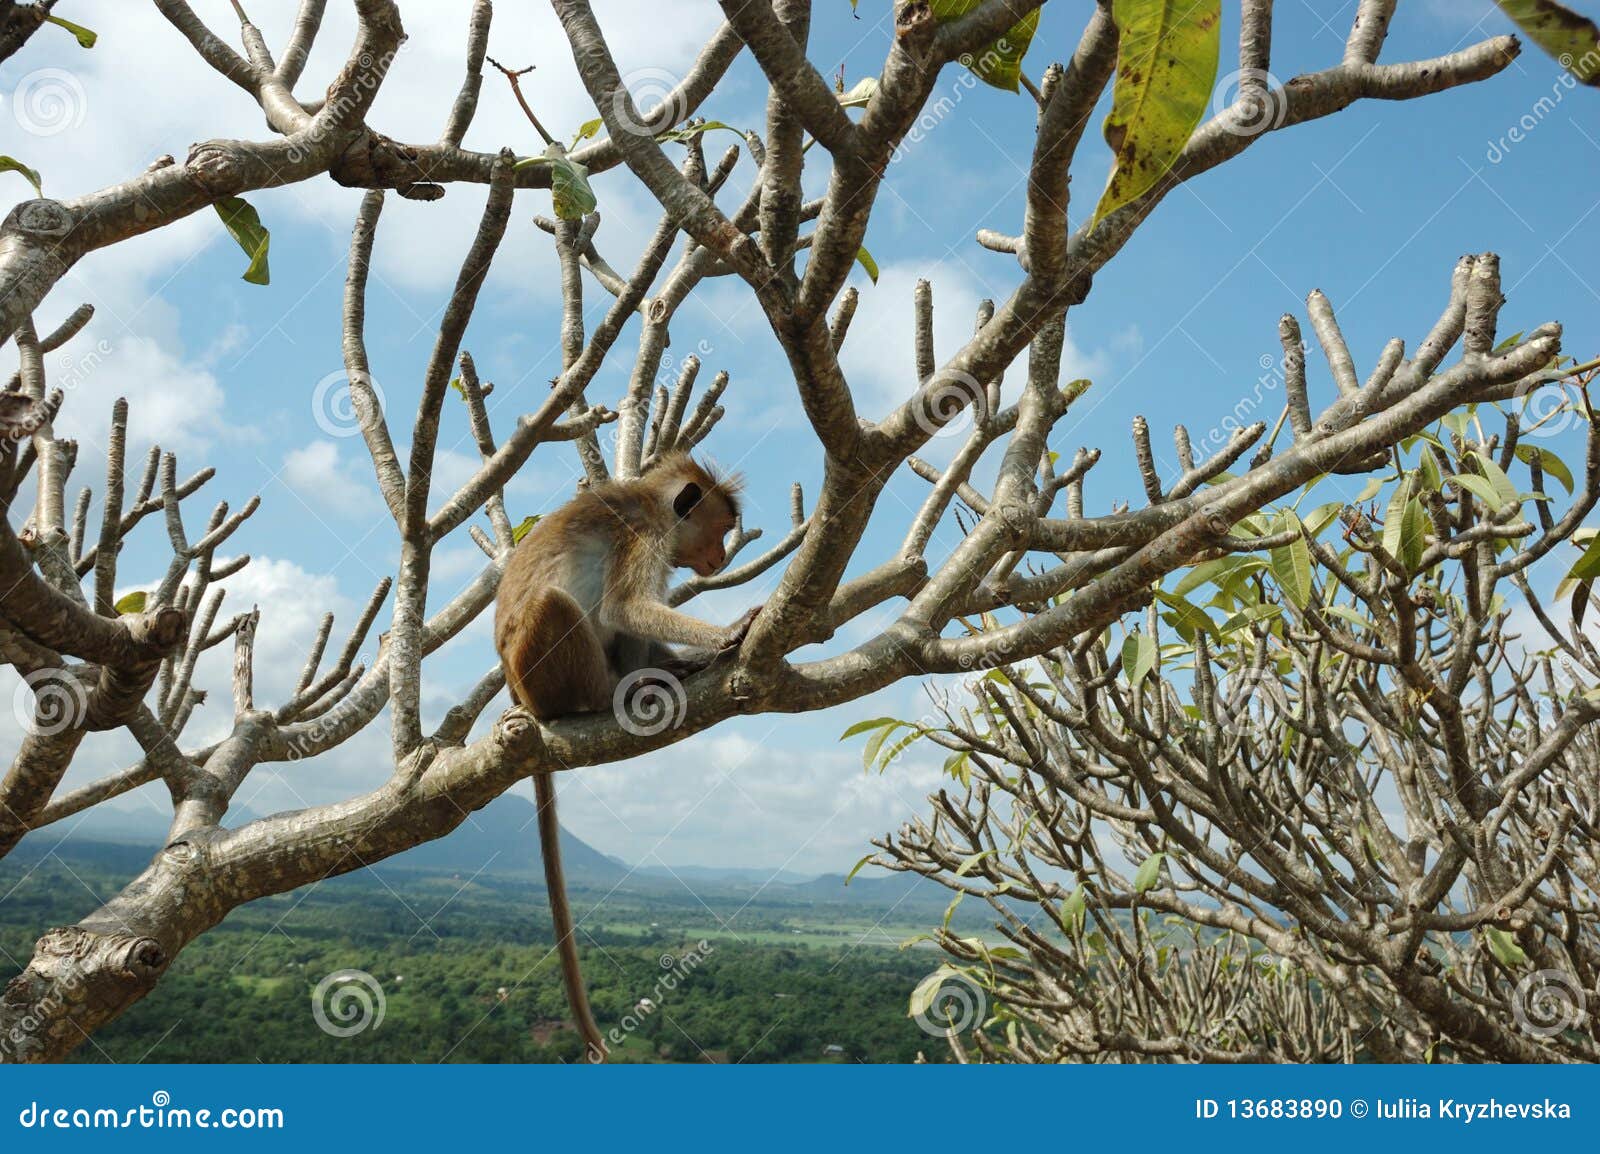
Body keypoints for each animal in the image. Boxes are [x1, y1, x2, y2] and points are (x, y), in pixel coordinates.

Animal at [493, 452, 758, 1062]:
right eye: (719, 529)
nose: (718, 558)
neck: (652, 501)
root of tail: (522, 700)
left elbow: (629, 617)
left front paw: (688, 656)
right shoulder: (645, 539)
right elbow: (627, 607)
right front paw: (725, 633)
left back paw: (657, 673)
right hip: (548, 674)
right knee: (558, 606)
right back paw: (617, 692)